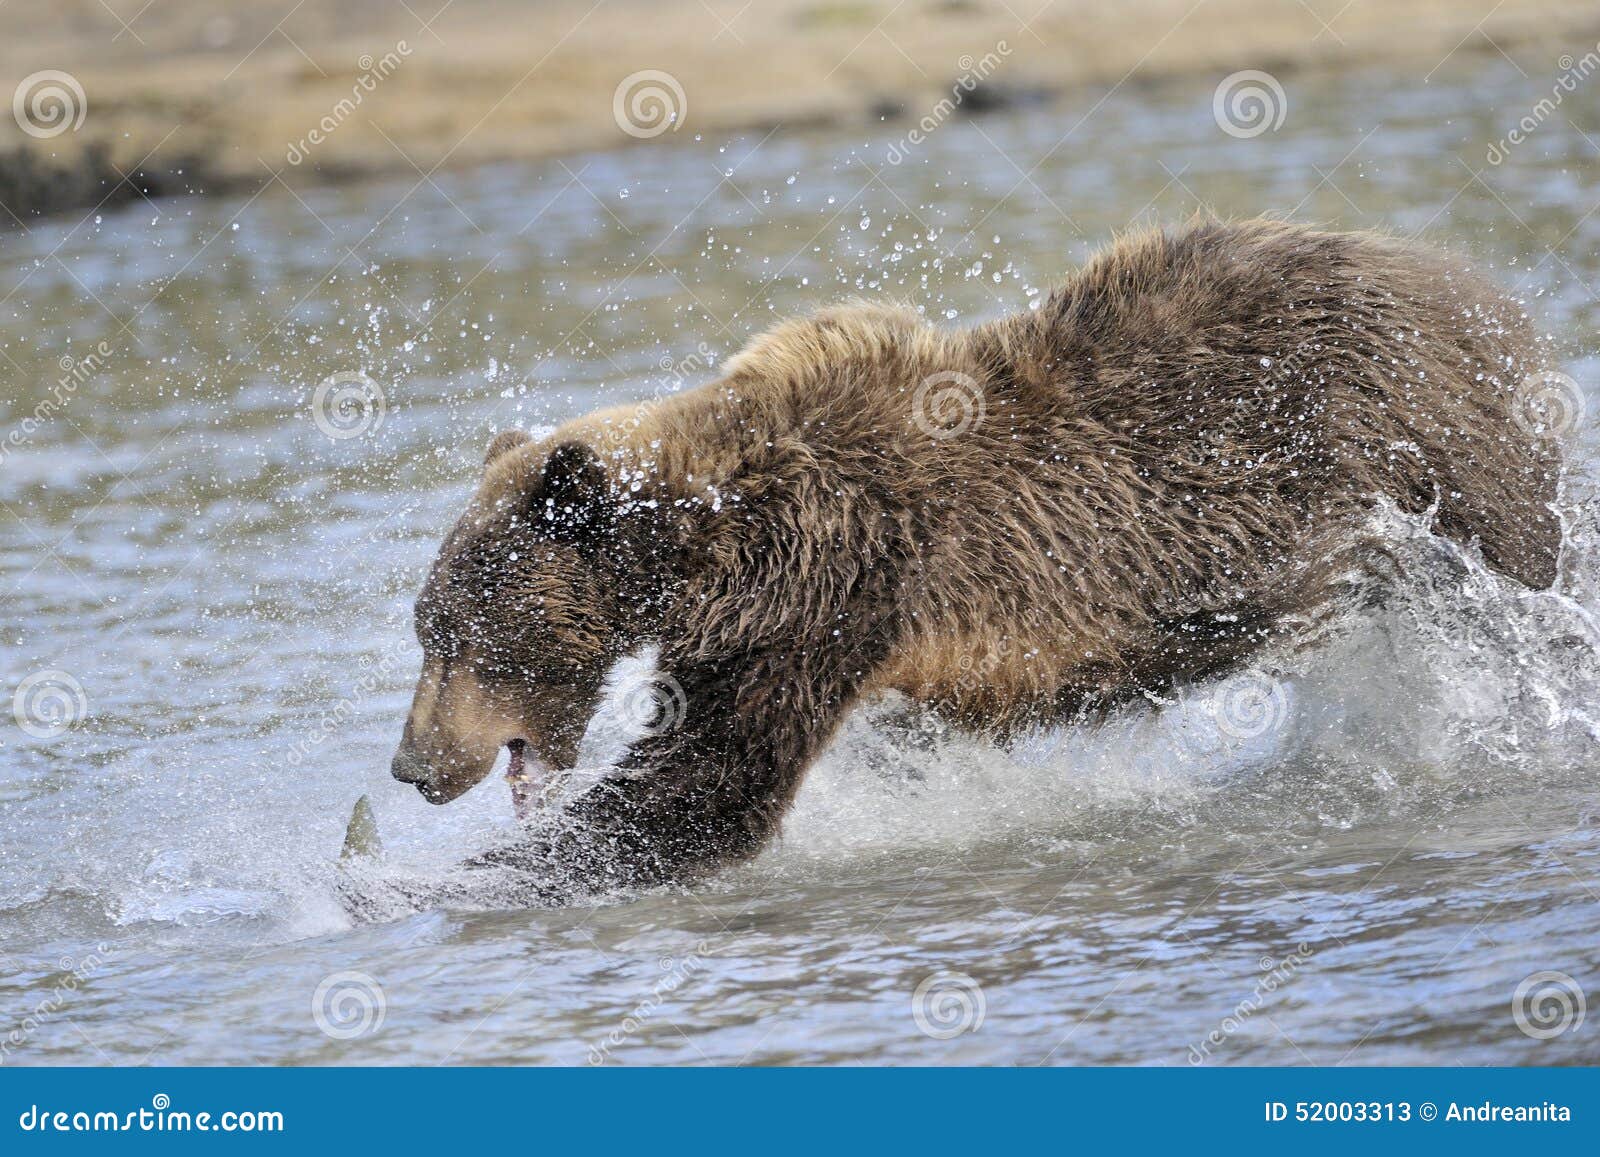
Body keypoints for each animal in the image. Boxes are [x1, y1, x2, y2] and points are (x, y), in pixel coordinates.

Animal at [389, 217, 1563, 897]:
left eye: (456, 630)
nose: (410, 766)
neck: (708, 536)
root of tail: (1471, 286)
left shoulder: (822, 583)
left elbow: (700, 787)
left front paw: (420, 881)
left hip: (1421, 453)